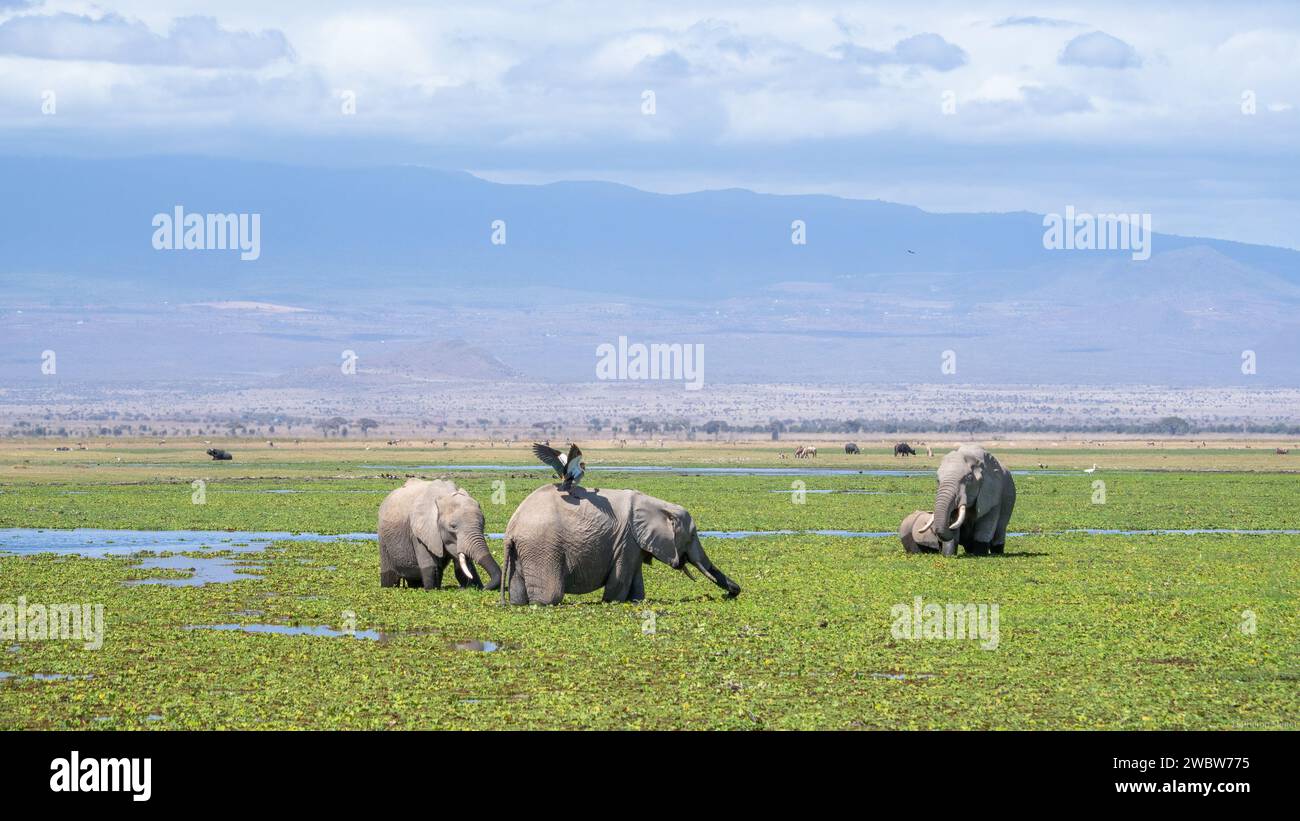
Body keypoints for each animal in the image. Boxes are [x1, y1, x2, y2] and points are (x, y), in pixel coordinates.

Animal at [500, 484, 741, 605]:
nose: (732, 593)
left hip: (524, 550)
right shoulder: (626, 540)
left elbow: (636, 581)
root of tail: (512, 527)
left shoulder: (634, 542)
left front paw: (636, 601)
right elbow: (620, 579)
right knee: (550, 596)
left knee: (518, 593)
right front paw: (611, 602)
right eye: (691, 535)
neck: (658, 504)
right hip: (542, 547)